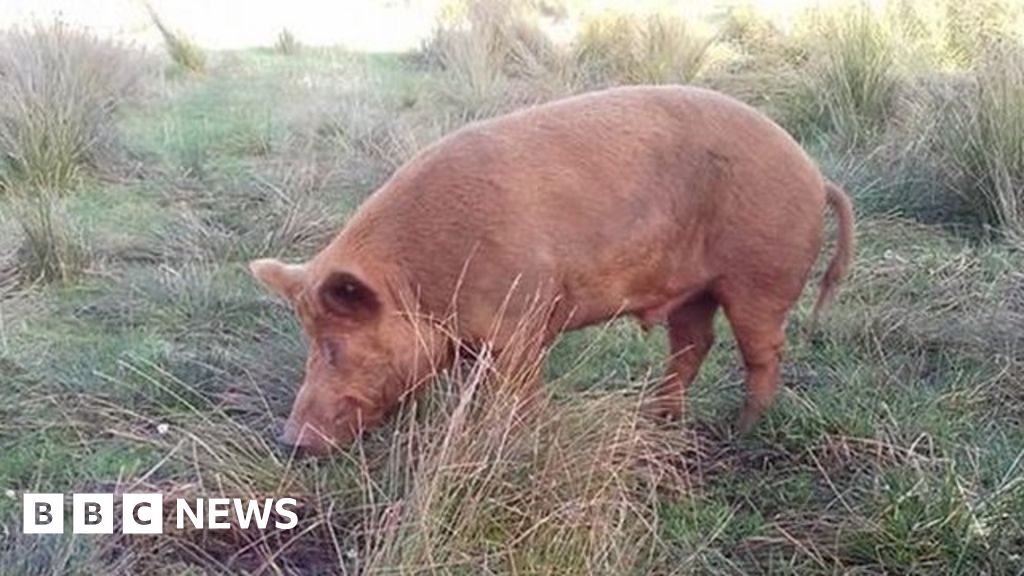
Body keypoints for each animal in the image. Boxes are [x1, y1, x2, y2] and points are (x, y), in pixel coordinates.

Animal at [250, 85, 855, 455]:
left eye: (333, 347)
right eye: (310, 341)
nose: (290, 441)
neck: (421, 282)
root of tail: (814, 173)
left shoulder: (520, 320)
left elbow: (517, 390)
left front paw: (518, 437)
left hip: (761, 275)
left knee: (763, 352)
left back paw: (742, 430)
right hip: (695, 289)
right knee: (693, 344)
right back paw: (658, 419)